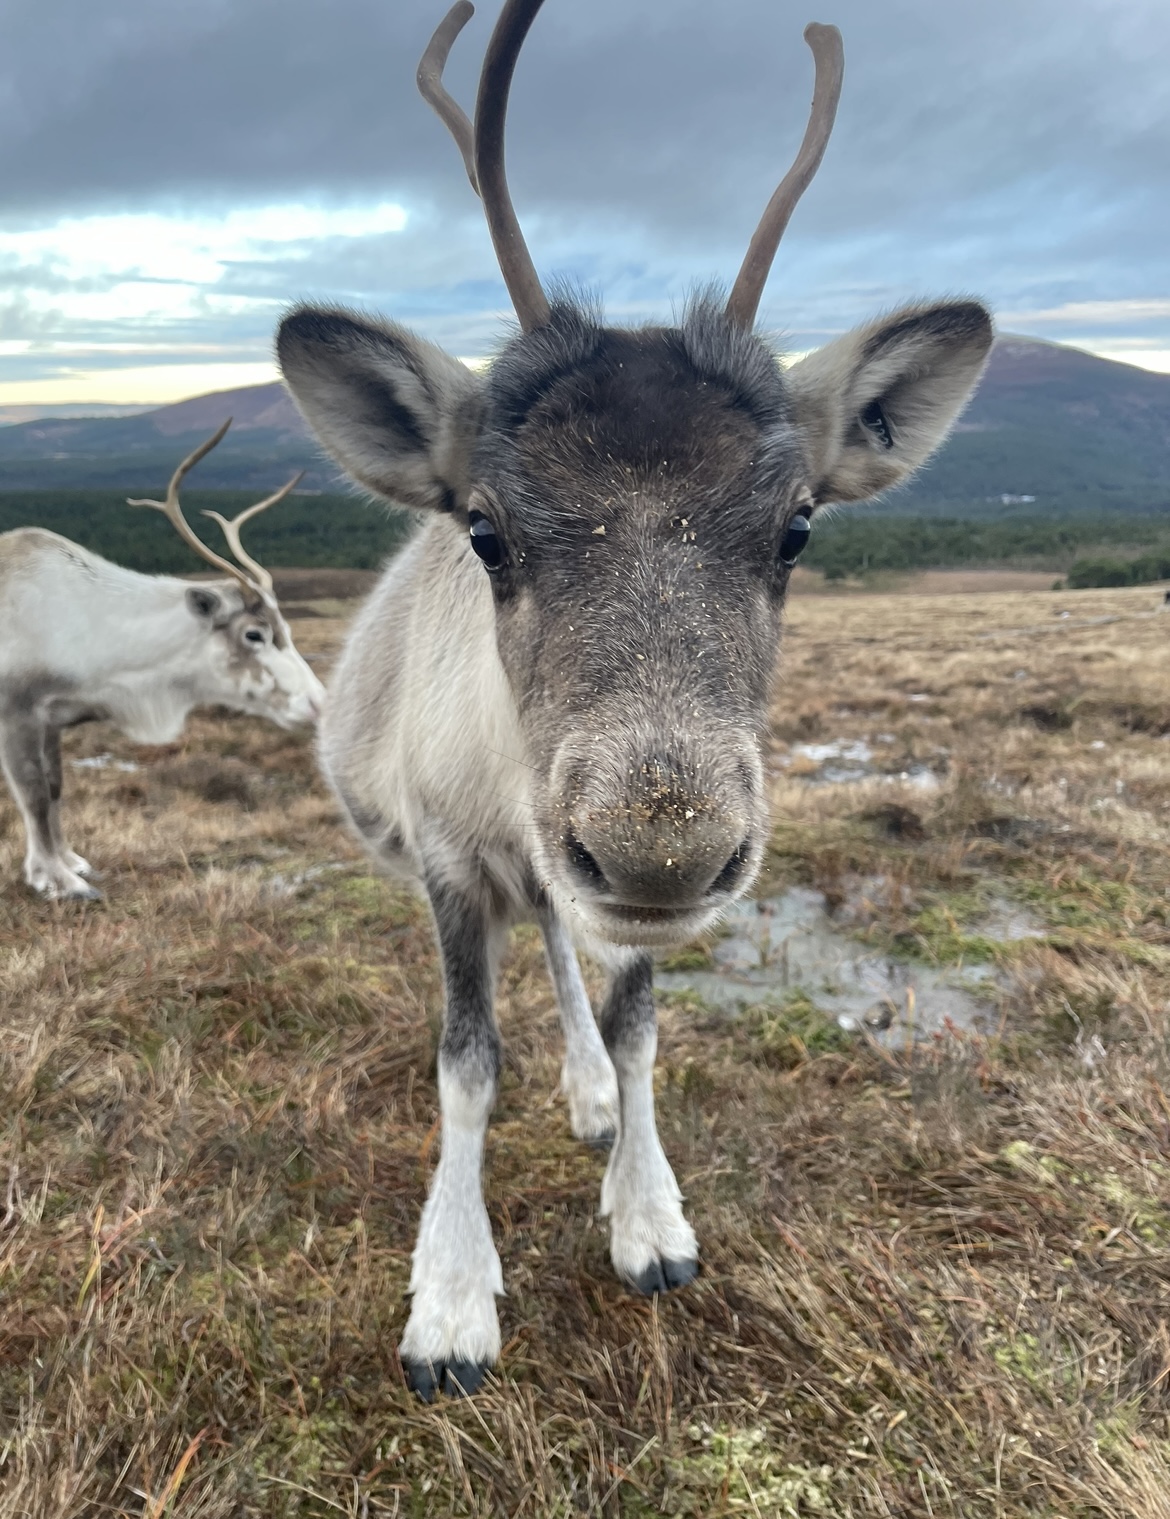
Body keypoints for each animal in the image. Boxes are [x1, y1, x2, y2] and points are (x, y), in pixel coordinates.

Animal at [0, 421, 325, 899]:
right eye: (254, 633)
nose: (319, 703)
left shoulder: (52, 720)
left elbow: (57, 787)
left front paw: (73, 862)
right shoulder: (16, 713)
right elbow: (35, 795)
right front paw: (56, 881)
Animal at [276, 0, 993, 1400]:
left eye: (798, 527)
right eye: (486, 529)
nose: (661, 846)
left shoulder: (601, 896)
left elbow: (643, 1028)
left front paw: (647, 1211)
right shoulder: (449, 863)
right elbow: (464, 1066)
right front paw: (451, 1299)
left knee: (570, 956)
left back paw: (592, 1089)